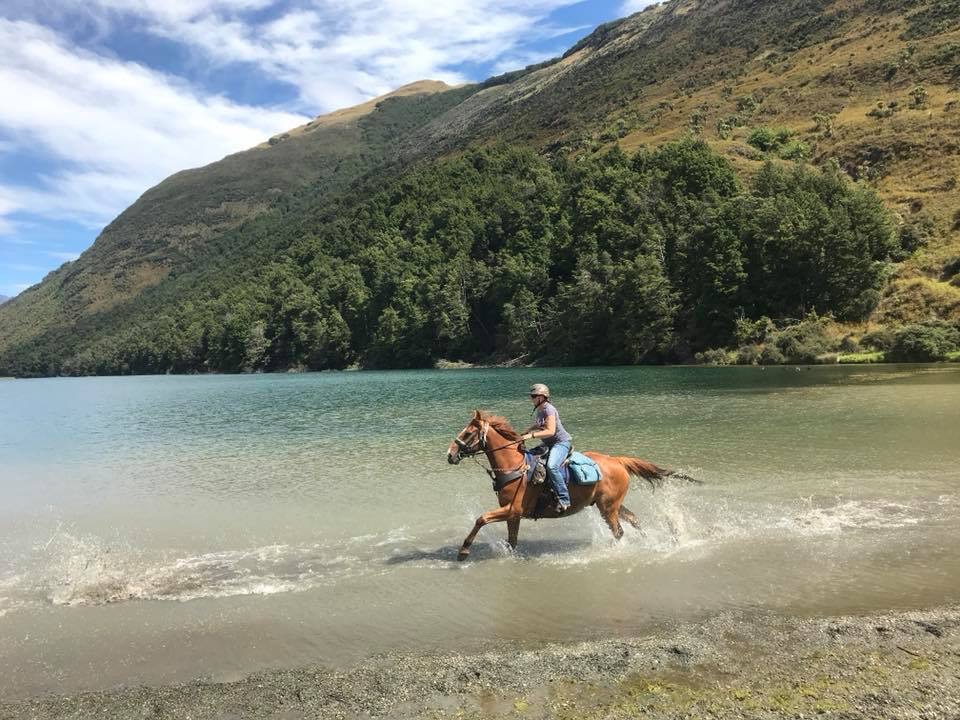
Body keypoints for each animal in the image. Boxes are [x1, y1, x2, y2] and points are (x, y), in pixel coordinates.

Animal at [446, 410, 697, 561]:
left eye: (468, 433)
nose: (450, 454)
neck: (515, 465)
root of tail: (618, 460)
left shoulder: (512, 509)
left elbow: (481, 519)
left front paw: (464, 550)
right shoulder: (513, 514)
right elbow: (512, 540)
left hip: (608, 509)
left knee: (619, 531)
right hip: (611, 505)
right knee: (634, 520)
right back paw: (651, 542)